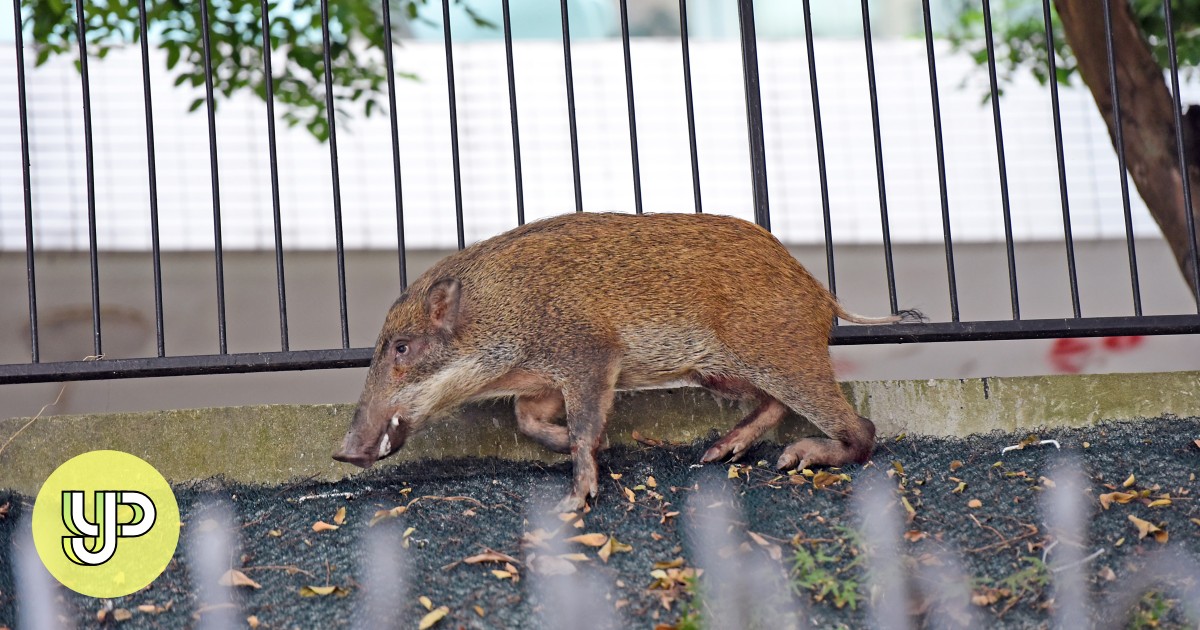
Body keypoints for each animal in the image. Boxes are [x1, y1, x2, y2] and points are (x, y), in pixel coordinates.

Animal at [333, 212, 922, 512]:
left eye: (402, 347)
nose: (343, 452)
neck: (503, 315)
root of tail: (823, 295)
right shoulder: (542, 381)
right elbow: (525, 418)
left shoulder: (590, 354)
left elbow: (585, 423)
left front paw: (573, 502)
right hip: (718, 370)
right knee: (773, 406)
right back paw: (716, 453)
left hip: (783, 355)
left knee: (861, 430)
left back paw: (793, 460)